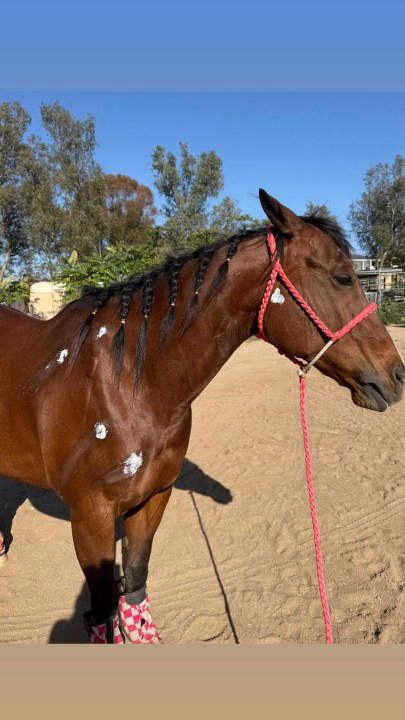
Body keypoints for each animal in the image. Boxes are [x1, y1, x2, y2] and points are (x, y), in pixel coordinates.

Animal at [0, 189, 404, 643]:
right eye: (342, 277)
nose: (397, 375)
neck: (125, 382)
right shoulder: (90, 516)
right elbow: (102, 614)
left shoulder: (153, 498)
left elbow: (135, 584)